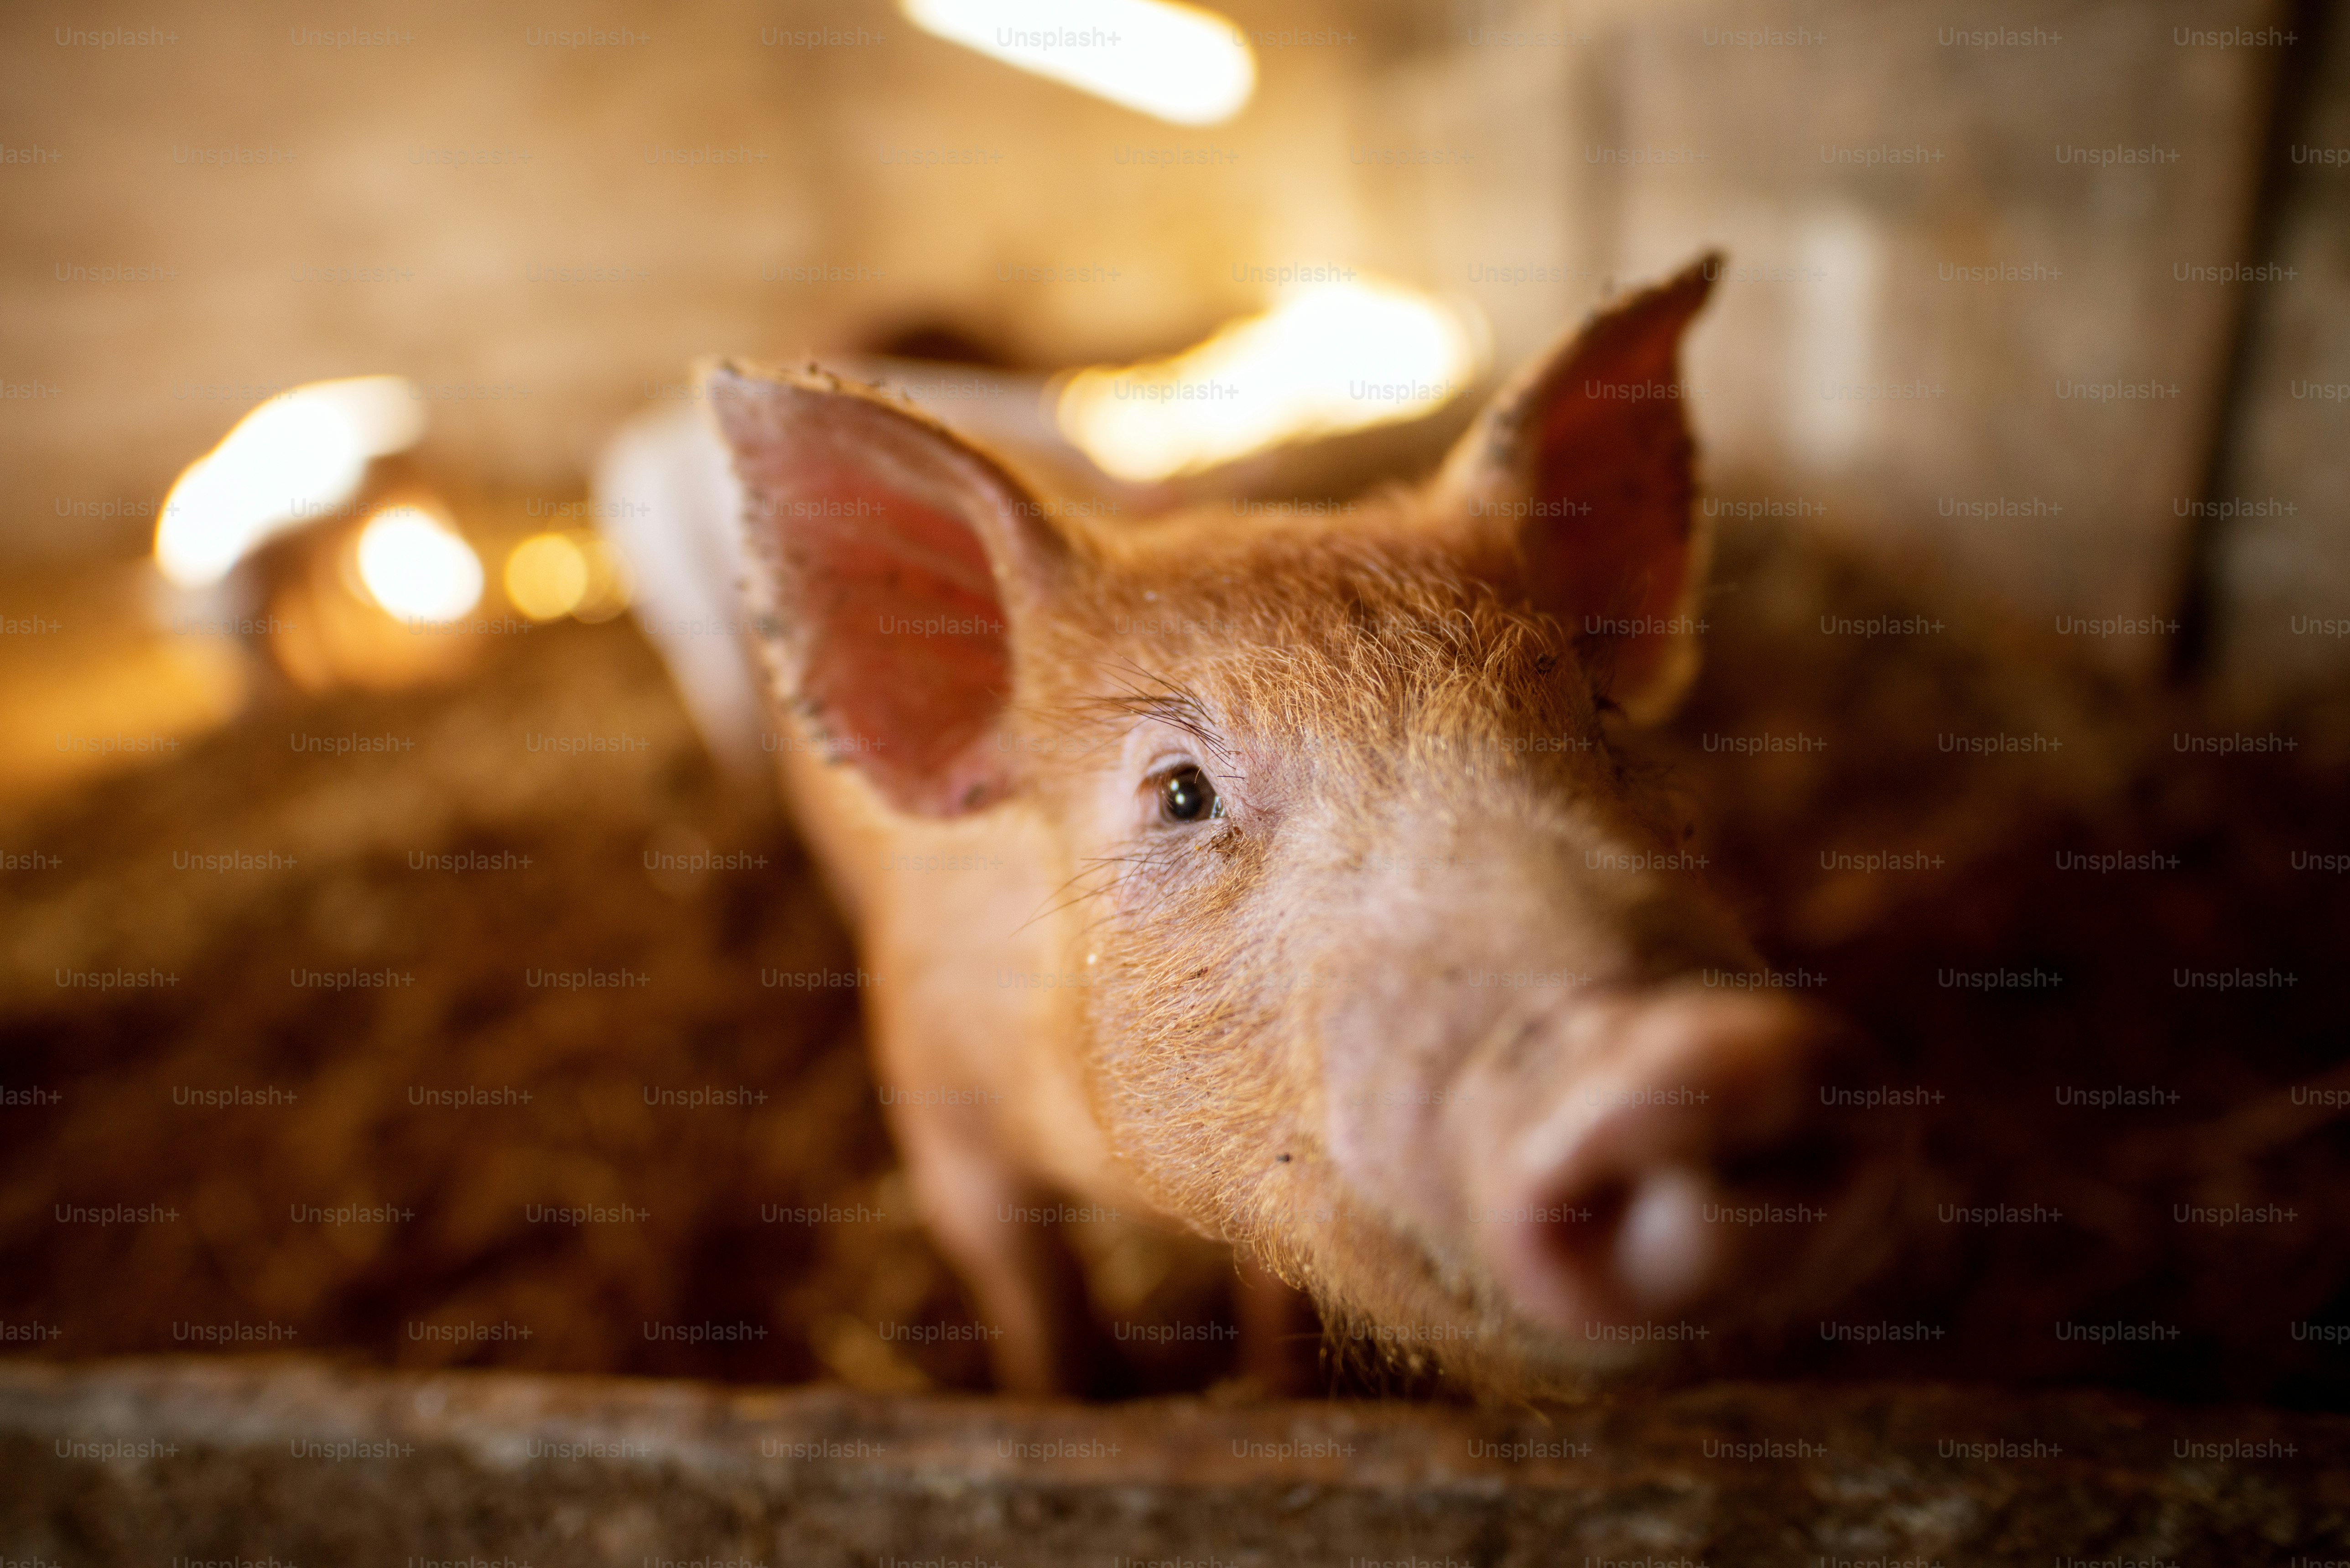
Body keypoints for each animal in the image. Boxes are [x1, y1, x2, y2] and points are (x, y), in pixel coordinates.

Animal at [657, 255, 1909, 1399]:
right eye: (1180, 793)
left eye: (1594, 718)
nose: (1699, 1054)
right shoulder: (933, 1103)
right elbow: (1032, 1297)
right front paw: (1076, 1398)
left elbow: (1276, 1290)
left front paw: (1270, 1394)